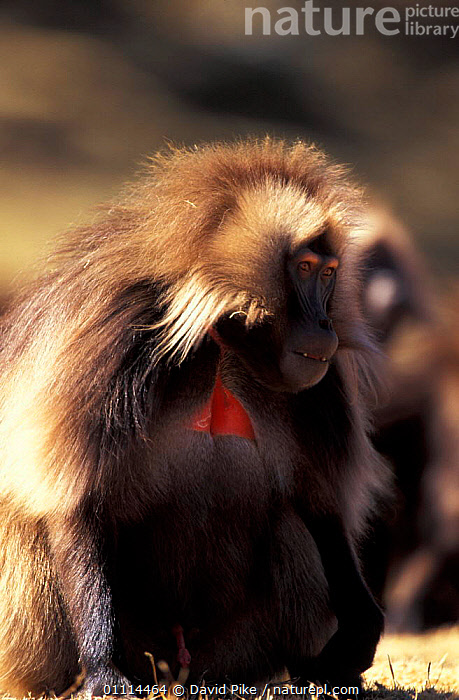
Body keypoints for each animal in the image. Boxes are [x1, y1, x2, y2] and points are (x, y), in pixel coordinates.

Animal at [0, 138, 388, 697]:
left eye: (330, 272)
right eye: (306, 267)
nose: (323, 324)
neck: (223, 338)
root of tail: (184, 667)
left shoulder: (320, 387)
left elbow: (318, 506)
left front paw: (360, 633)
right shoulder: (118, 339)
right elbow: (75, 504)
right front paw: (101, 670)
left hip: (236, 650)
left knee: (291, 526)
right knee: (30, 526)